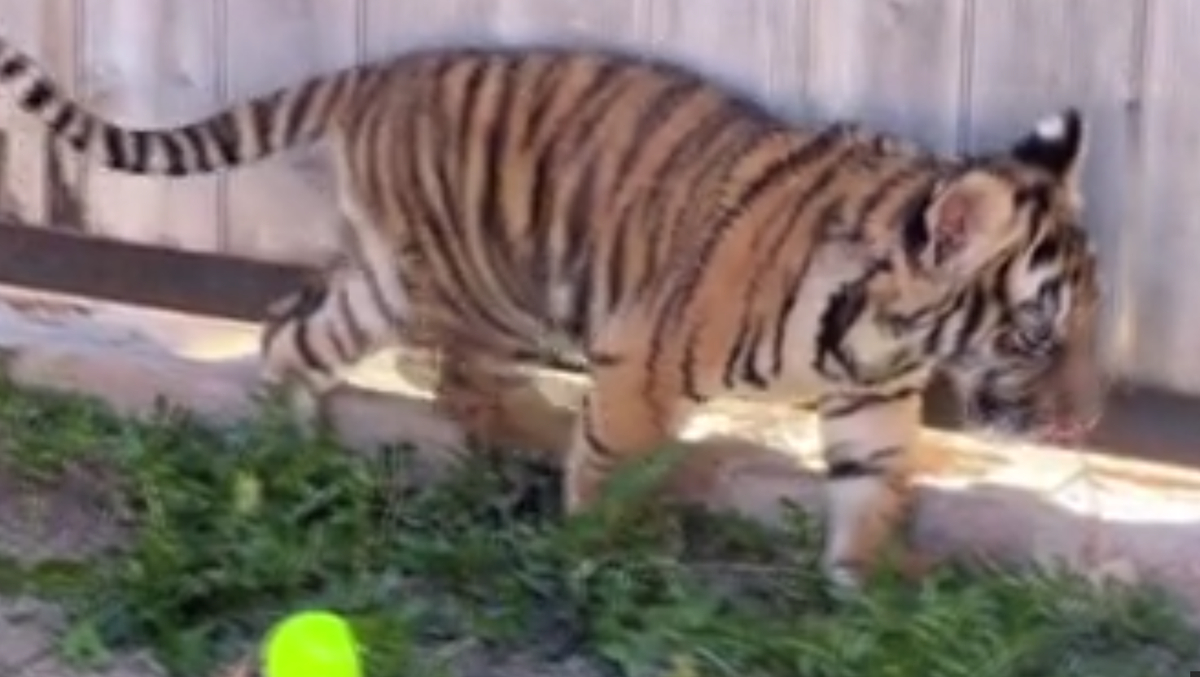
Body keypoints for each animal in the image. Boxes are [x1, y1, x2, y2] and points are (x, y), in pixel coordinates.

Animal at [0, 36, 1103, 588]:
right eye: (1035, 331)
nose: (1082, 420)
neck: (880, 334)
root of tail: (376, 73)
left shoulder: (873, 402)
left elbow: (871, 491)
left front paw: (865, 590)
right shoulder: (642, 359)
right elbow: (613, 458)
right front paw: (603, 548)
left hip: (388, 280)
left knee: (291, 332)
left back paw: (285, 449)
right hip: (485, 280)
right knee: (459, 379)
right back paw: (520, 430)